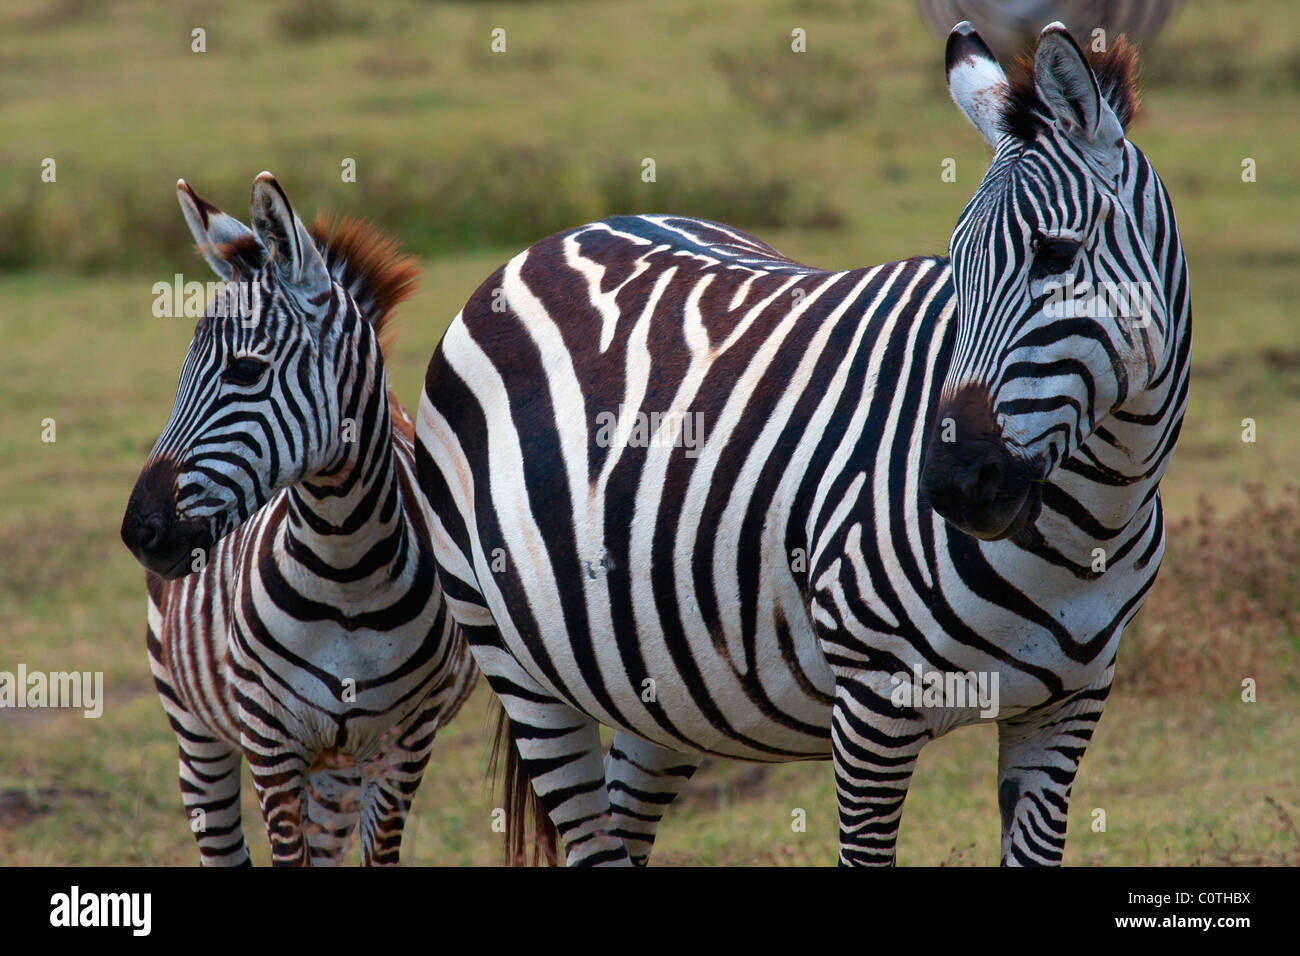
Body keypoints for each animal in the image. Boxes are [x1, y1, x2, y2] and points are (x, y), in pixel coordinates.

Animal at [120, 173, 477, 865]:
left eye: (246, 370)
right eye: (181, 373)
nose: (139, 532)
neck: (346, 571)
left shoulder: (405, 742)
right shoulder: (269, 739)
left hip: (338, 767)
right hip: (194, 727)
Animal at [414, 20, 1190, 866]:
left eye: (1056, 254)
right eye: (955, 267)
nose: (951, 484)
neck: (1091, 518)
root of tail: (555, 239)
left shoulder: (1068, 705)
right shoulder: (875, 704)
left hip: (662, 680)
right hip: (512, 656)